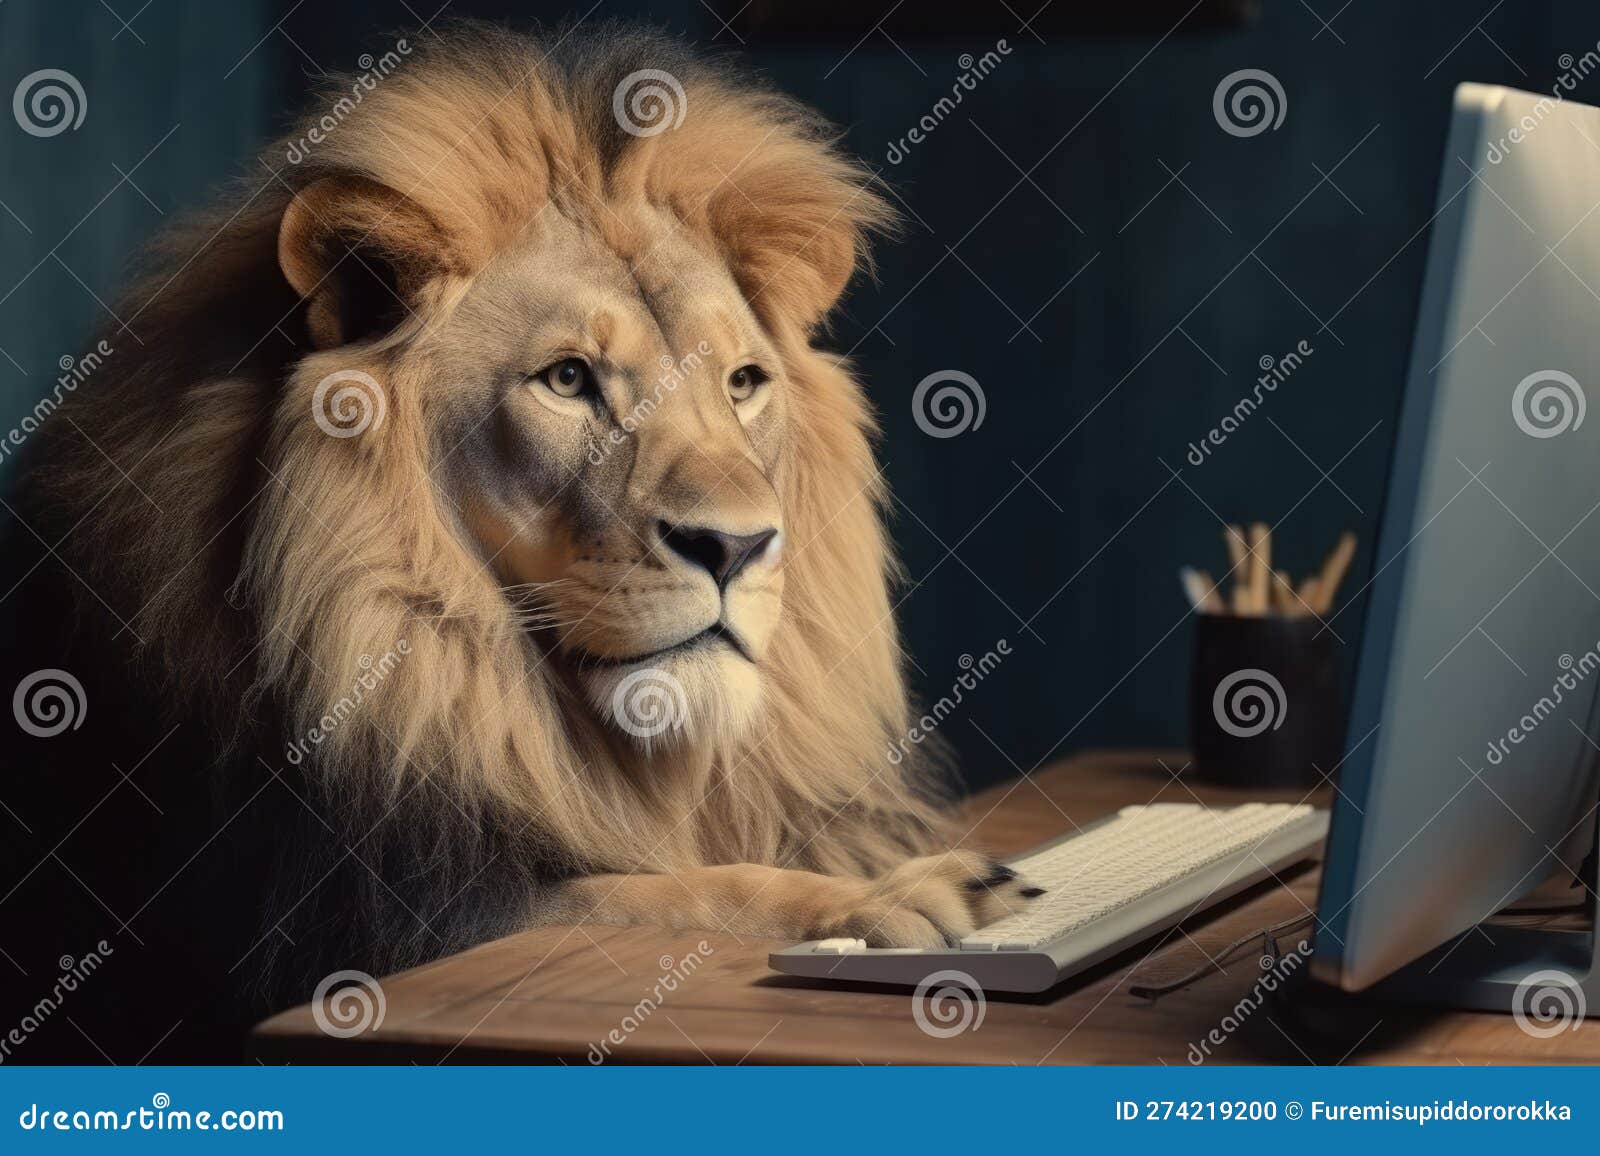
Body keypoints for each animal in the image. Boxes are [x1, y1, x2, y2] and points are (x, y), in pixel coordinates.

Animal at [2, 21, 1039, 1058]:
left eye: (744, 382)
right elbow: (663, 893)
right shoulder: (367, 926)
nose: (737, 547)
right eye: (568, 379)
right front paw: (893, 893)